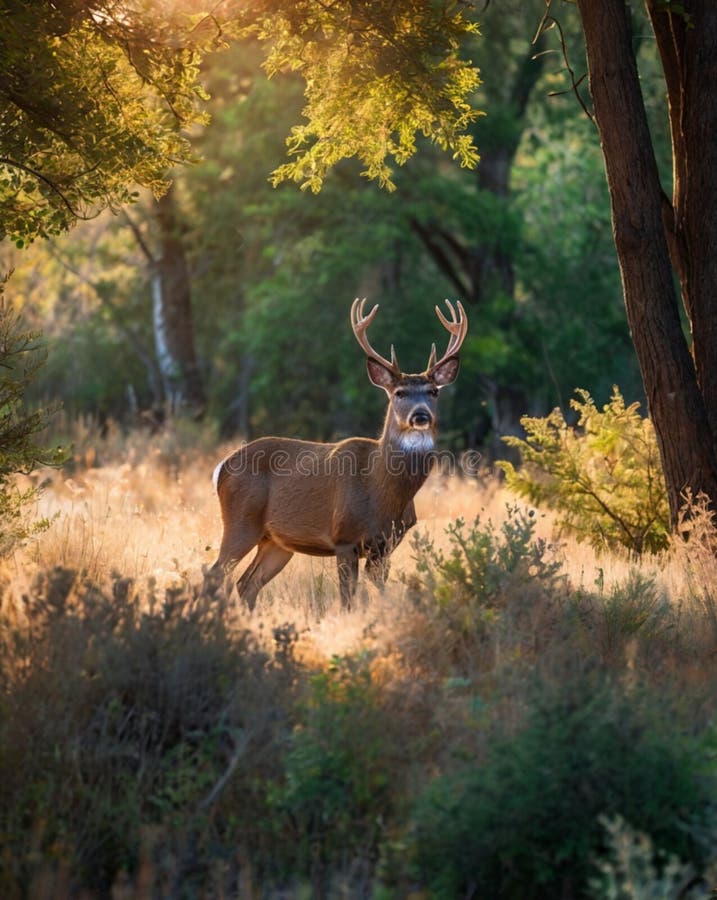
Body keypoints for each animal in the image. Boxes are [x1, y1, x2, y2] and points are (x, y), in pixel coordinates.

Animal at [207, 297, 467, 611]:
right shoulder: (345, 537)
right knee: (214, 574)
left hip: (276, 542)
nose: (420, 416)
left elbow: (378, 591)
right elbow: (347, 599)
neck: (381, 489)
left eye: (433, 392)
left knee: (246, 584)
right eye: (400, 393)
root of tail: (222, 467)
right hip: (240, 521)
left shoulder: (386, 545)